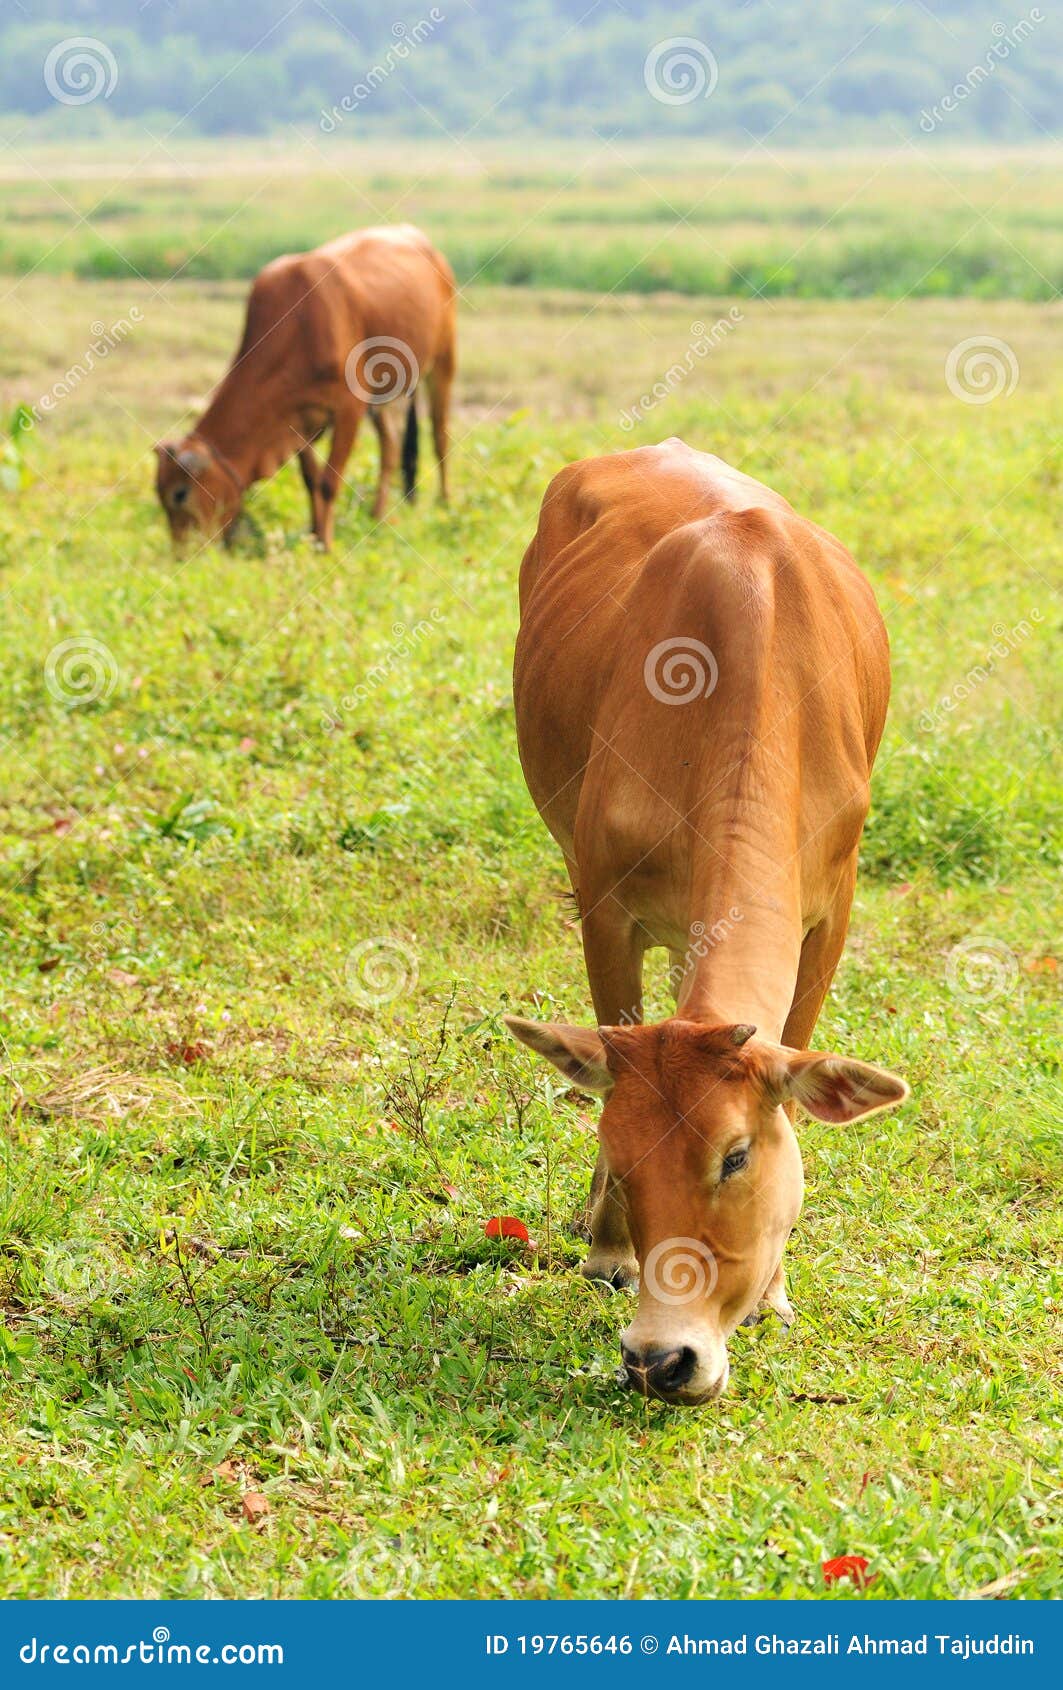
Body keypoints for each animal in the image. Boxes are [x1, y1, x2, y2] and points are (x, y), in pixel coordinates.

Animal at [154, 224, 456, 551]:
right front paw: (314, 533)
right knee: (390, 445)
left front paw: (326, 543)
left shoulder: (349, 409)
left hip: (443, 362)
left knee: (439, 436)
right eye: (161, 495)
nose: (181, 554)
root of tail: (417, 237)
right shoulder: (296, 418)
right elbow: (311, 479)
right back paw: (377, 515)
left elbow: (327, 483)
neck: (298, 326)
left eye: (180, 493)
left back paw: (445, 503)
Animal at [505, 440, 909, 1405]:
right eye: (619, 1151)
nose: (660, 1357)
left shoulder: (831, 909)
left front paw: (775, 1292)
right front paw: (607, 1246)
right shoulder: (603, 902)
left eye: (736, 1155)